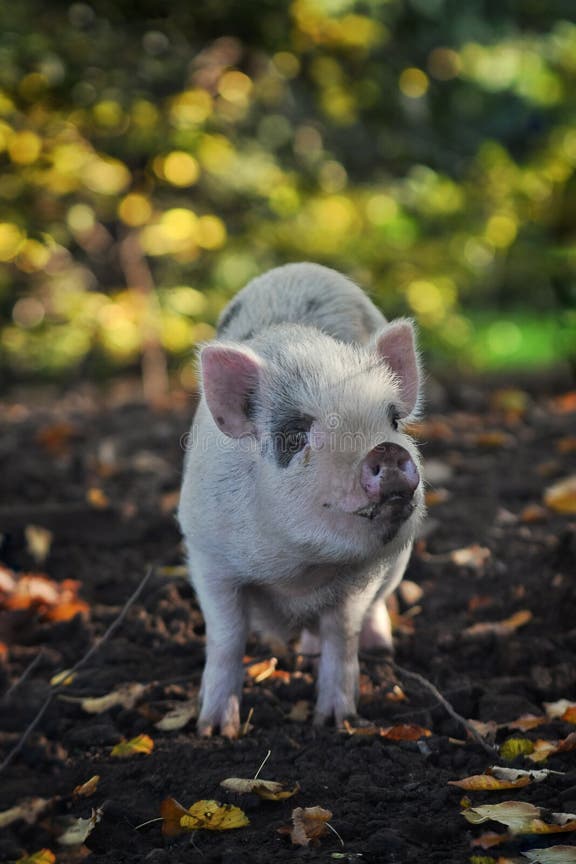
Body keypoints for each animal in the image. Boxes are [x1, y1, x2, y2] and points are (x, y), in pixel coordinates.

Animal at [178, 262, 425, 737]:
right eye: (294, 436)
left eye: (393, 420)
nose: (387, 450)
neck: (297, 568)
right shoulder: (208, 557)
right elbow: (226, 638)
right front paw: (214, 731)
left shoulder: (363, 575)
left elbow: (342, 634)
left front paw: (336, 724)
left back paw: (378, 652)